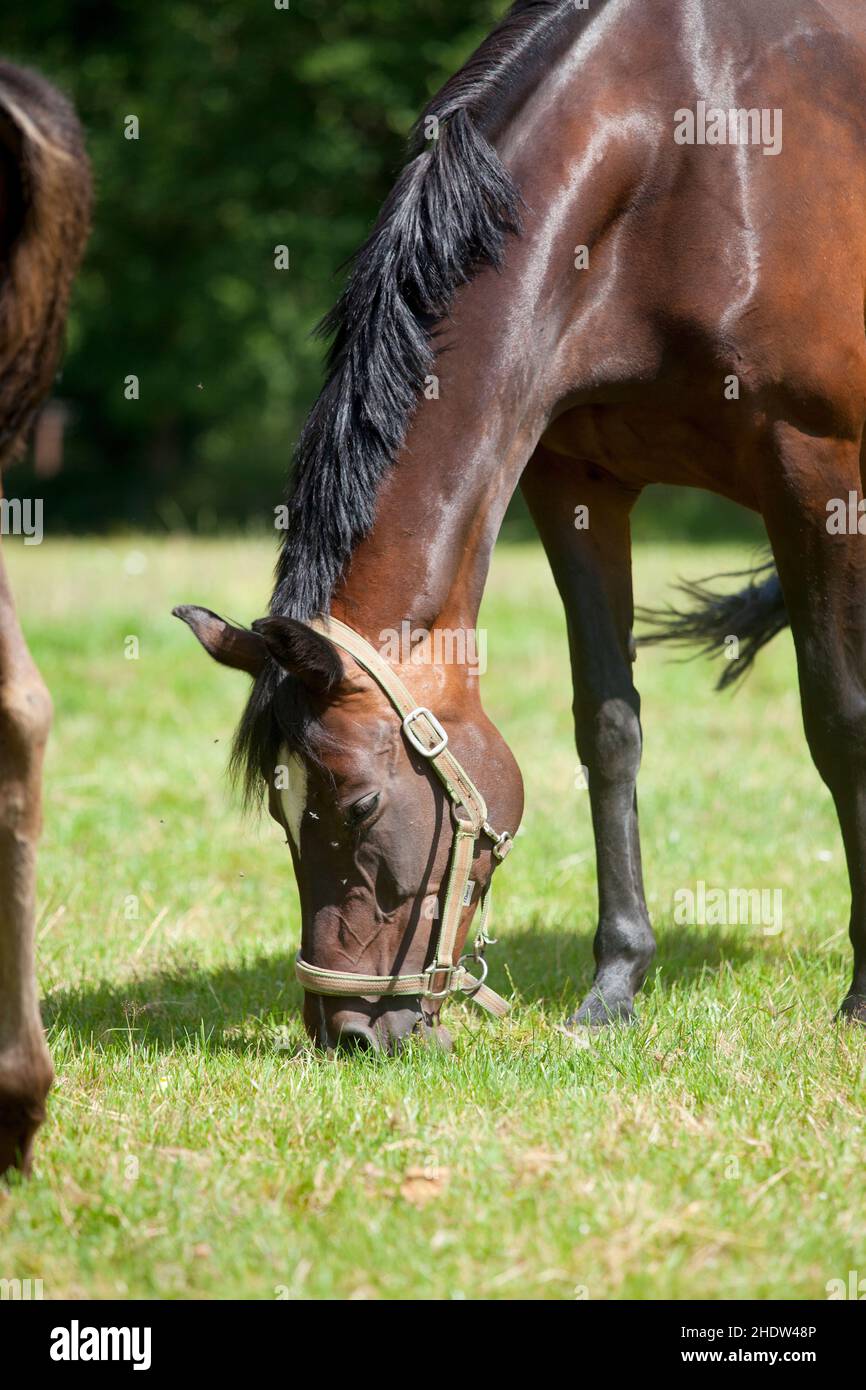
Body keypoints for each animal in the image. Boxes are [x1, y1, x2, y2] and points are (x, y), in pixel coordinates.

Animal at [178, 0, 866, 1052]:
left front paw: (864, 992)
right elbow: (608, 727)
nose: (346, 1032)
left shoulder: (812, 469)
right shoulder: (575, 479)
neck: (683, 153)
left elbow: (838, 723)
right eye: (282, 817)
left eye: (360, 803)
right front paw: (615, 985)